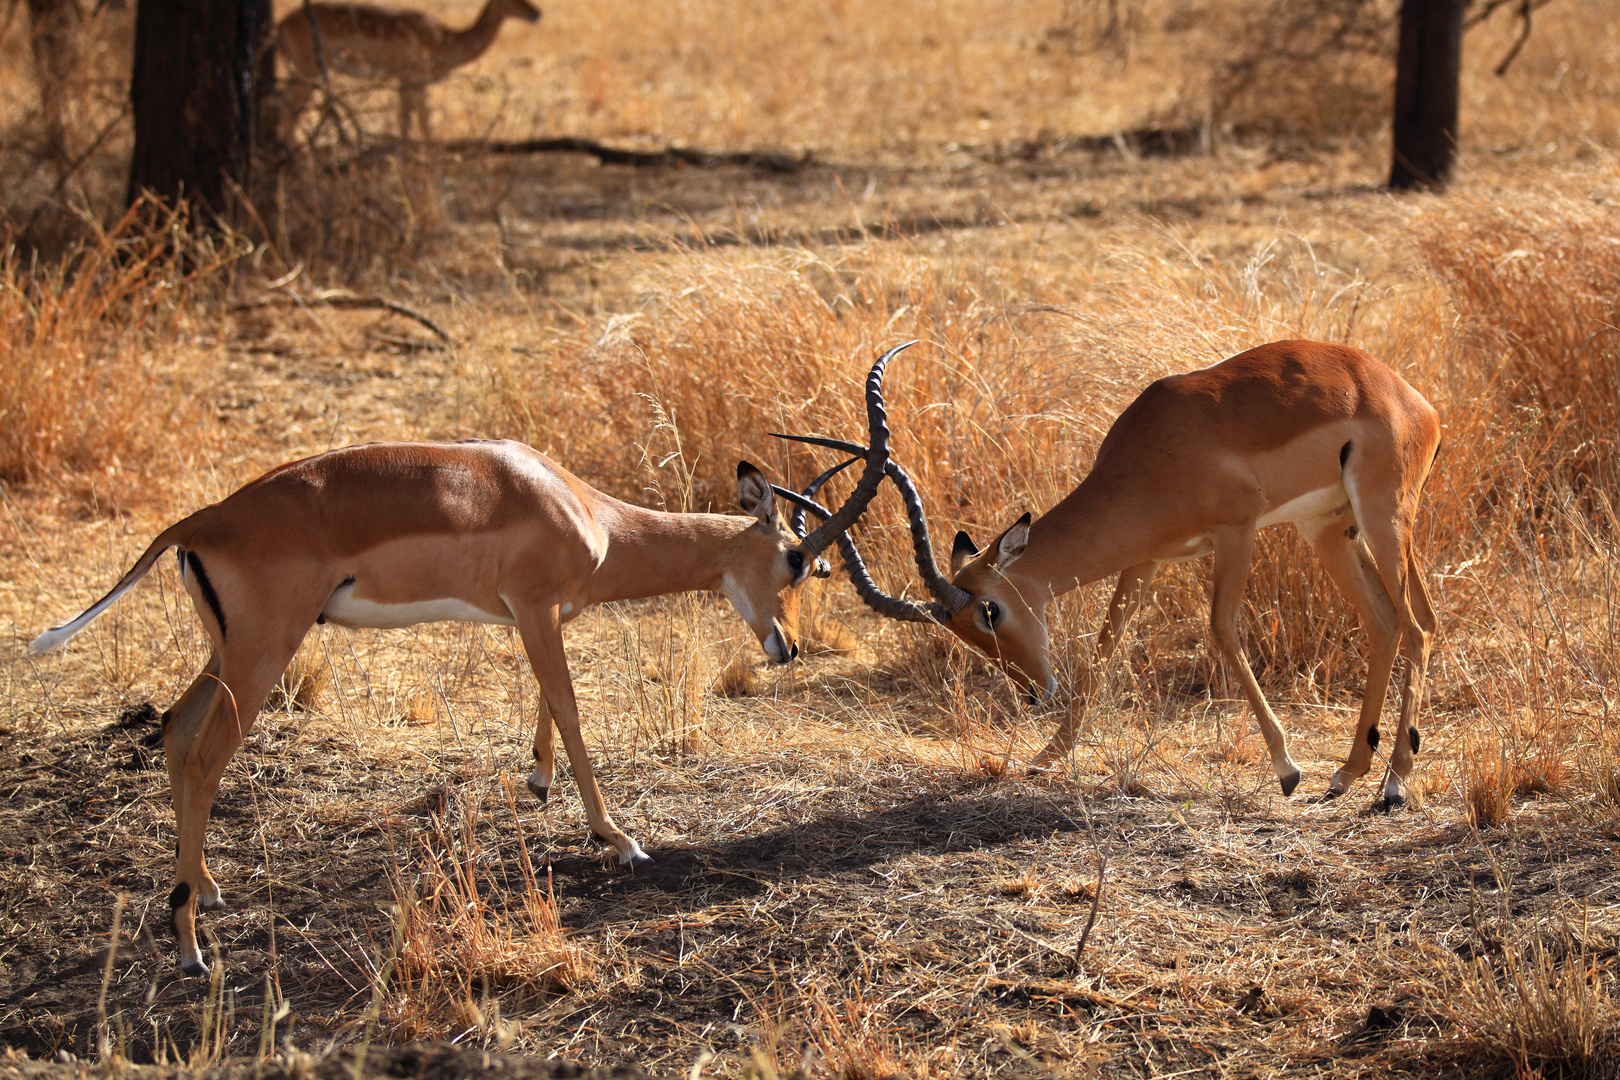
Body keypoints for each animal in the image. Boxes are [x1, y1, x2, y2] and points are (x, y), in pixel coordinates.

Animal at [28, 345, 905, 976]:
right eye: (798, 559)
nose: (788, 647)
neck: (587, 512)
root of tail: (200, 521)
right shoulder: (537, 608)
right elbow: (575, 707)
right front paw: (618, 837)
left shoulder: (537, 615)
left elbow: (550, 702)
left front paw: (539, 782)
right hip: (262, 651)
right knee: (207, 754)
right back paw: (188, 947)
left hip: (227, 650)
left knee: (175, 731)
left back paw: (205, 891)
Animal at [277, 0, 542, 141]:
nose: (536, 13)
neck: (444, 39)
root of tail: (282, 23)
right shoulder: (408, 78)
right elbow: (408, 119)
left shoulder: (416, 84)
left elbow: (422, 120)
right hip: (308, 72)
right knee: (287, 109)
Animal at [775, 340, 1441, 807]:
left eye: (990, 609)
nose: (1033, 692)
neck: (1155, 453)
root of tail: (1411, 398)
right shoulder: (1146, 558)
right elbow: (1103, 647)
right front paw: (1044, 759)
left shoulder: (1236, 531)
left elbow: (1222, 631)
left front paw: (1286, 770)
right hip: (1327, 528)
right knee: (1384, 623)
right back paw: (1348, 775)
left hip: (1384, 516)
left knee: (1420, 624)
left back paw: (1392, 787)